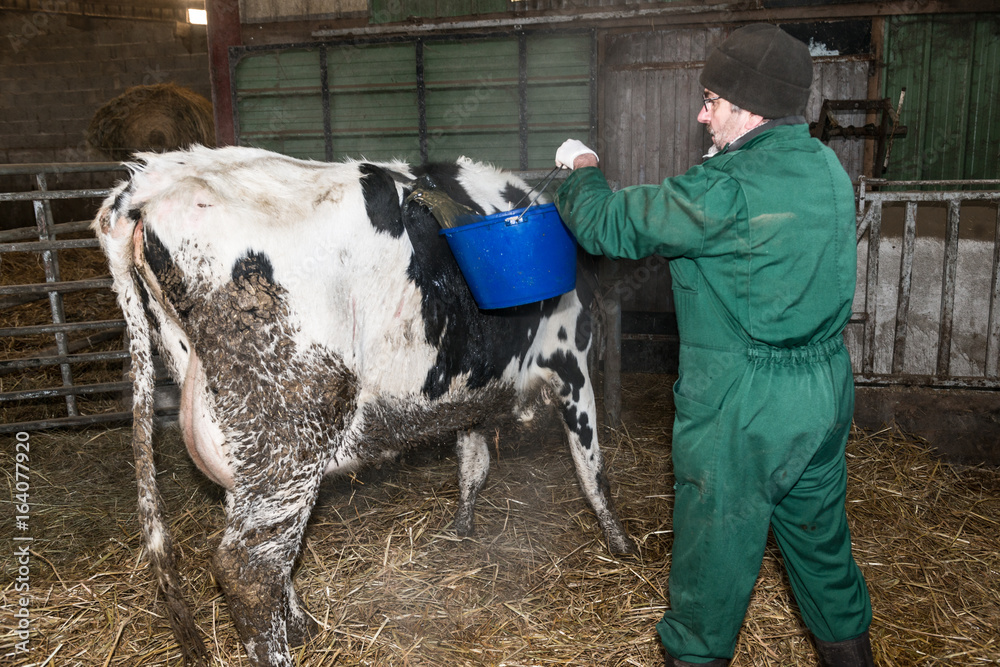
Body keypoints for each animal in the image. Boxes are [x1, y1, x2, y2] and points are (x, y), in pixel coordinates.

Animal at [93, 145, 636, 667]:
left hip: (238, 431)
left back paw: (302, 625)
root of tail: (157, 177)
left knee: (263, 539)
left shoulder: (468, 391)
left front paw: (462, 527)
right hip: (296, 417)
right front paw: (622, 545)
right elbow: (592, 469)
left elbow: (473, 463)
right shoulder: (572, 363)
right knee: (249, 568)